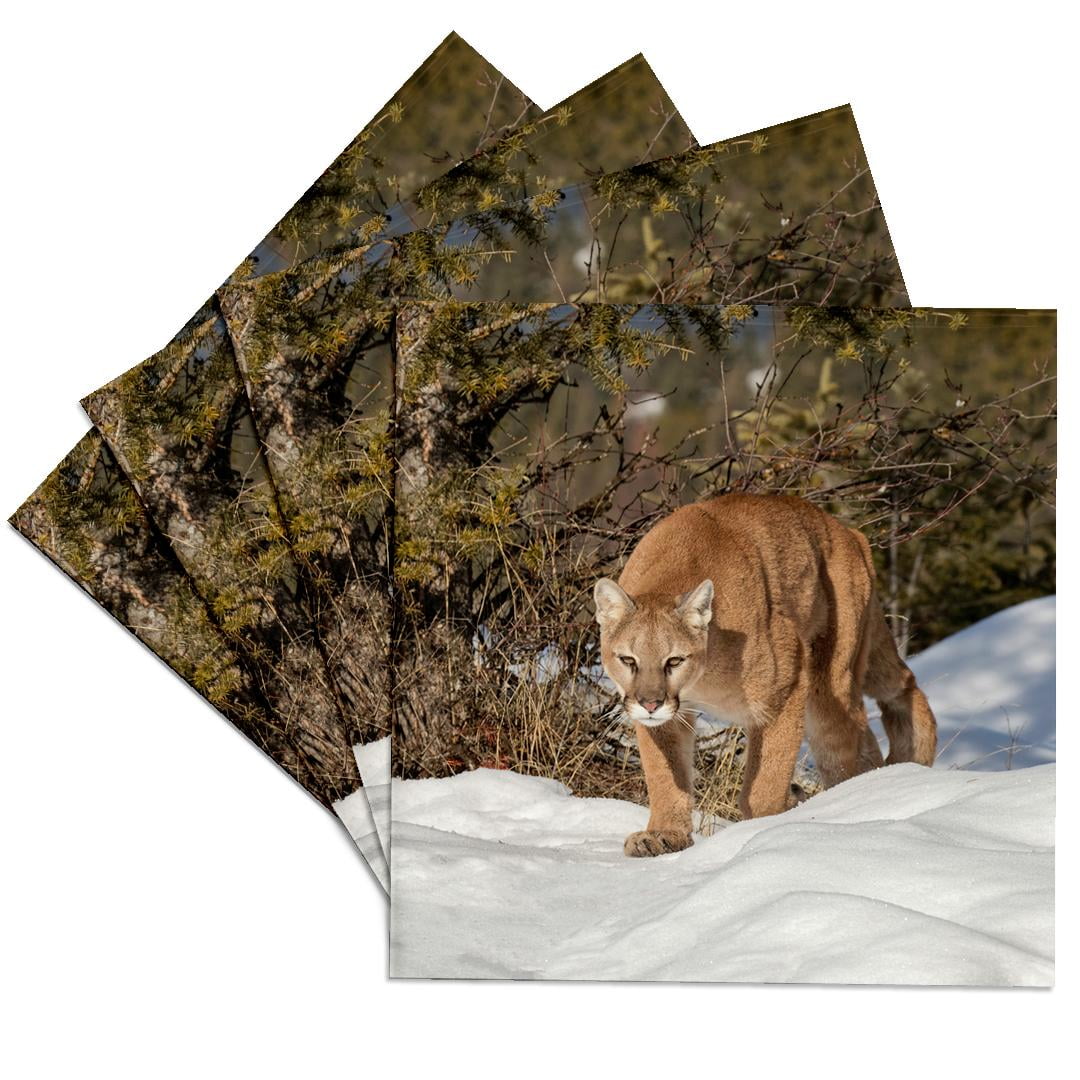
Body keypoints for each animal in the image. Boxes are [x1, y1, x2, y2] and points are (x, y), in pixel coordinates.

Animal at [593, 494, 937, 858]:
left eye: (674, 661)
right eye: (628, 660)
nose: (650, 703)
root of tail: (849, 532)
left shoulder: (785, 688)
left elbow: (765, 782)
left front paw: (763, 829)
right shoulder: (666, 719)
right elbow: (664, 776)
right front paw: (663, 835)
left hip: (830, 682)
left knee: (851, 735)